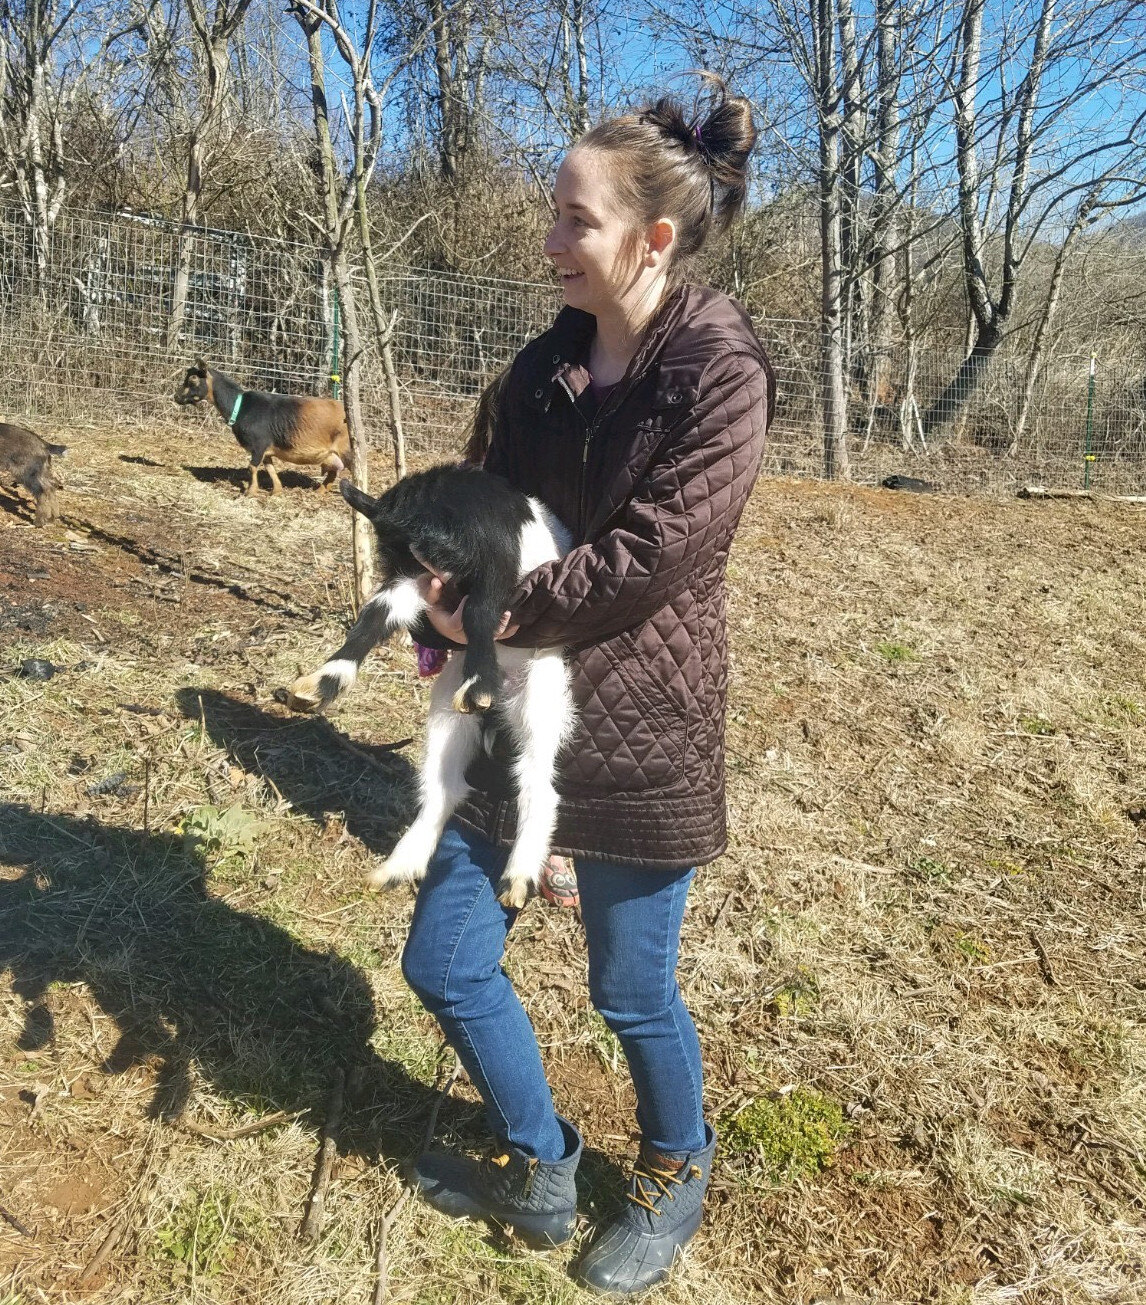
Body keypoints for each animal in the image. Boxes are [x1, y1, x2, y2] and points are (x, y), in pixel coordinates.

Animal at [174, 360, 351, 497]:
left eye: (193, 380)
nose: (176, 397)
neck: (240, 406)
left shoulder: (258, 444)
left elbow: (252, 467)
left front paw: (250, 492)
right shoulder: (266, 449)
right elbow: (270, 467)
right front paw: (276, 491)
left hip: (346, 449)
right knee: (333, 472)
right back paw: (319, 491)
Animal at [284, 468, 574, 909]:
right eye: (395, 556)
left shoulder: (495, 567)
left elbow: (480, 612)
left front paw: (479, 685)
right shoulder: (418, 577)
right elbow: (378, 611)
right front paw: (324, 681)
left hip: (542, 696)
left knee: (537, 785)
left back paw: (518, 877)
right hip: (445, 712)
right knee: (445, 788)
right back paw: (398, 868)